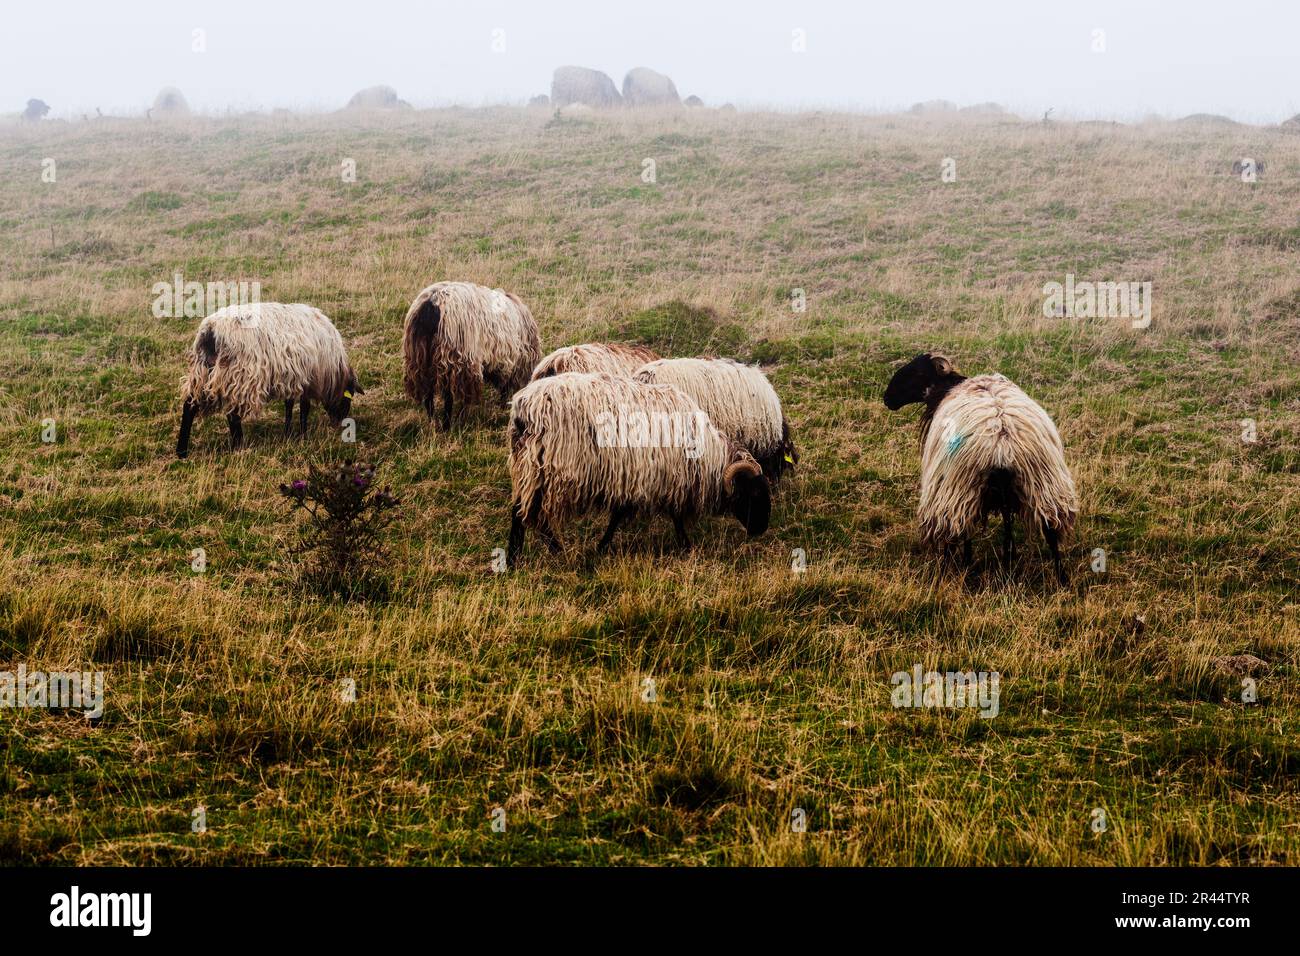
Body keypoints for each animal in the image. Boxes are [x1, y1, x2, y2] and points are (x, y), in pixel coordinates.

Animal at [176, 302, 360, 458]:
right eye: (348, 398)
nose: (338, 425)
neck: (333, 370)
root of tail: (211, 328)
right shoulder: (308, 379)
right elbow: (304, 409)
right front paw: (303, 434)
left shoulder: (292, 377)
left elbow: (289, 405)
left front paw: (288, 432)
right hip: (240, 375)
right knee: (233, 414)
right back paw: (239, 445)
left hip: (203, 370)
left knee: (189, 406)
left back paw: (182, 451)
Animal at [402, 281, 541, 431]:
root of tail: (433, 303)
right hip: (456, 359)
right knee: (451, 396)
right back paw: (449, 425)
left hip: (421, 360)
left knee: (429, 396)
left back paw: (433, 423)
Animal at [505, 372, 771, 566]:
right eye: (754, 493)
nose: (761, 529)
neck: (707, 455)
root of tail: (523, 408)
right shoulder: (657, 477)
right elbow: (667, 515)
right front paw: (686, 546)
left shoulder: (637, 477)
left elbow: (622, 514)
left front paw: (602, 546)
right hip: (550, 468)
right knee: (530, 516)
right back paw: (551, 553)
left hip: (529, 465)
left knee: (520, 511)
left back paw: (515, 558)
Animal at [882, 353, 1077, 583]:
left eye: (917, 372)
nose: (887, 398)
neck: (946, 388)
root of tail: (1002, 445)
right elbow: (1007, 523)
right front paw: (1008, 557)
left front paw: (971, 562)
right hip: (1042, 486)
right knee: (1051, 531)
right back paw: (1061, 577)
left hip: (957, 491)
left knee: (957, 531)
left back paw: (947, 573)